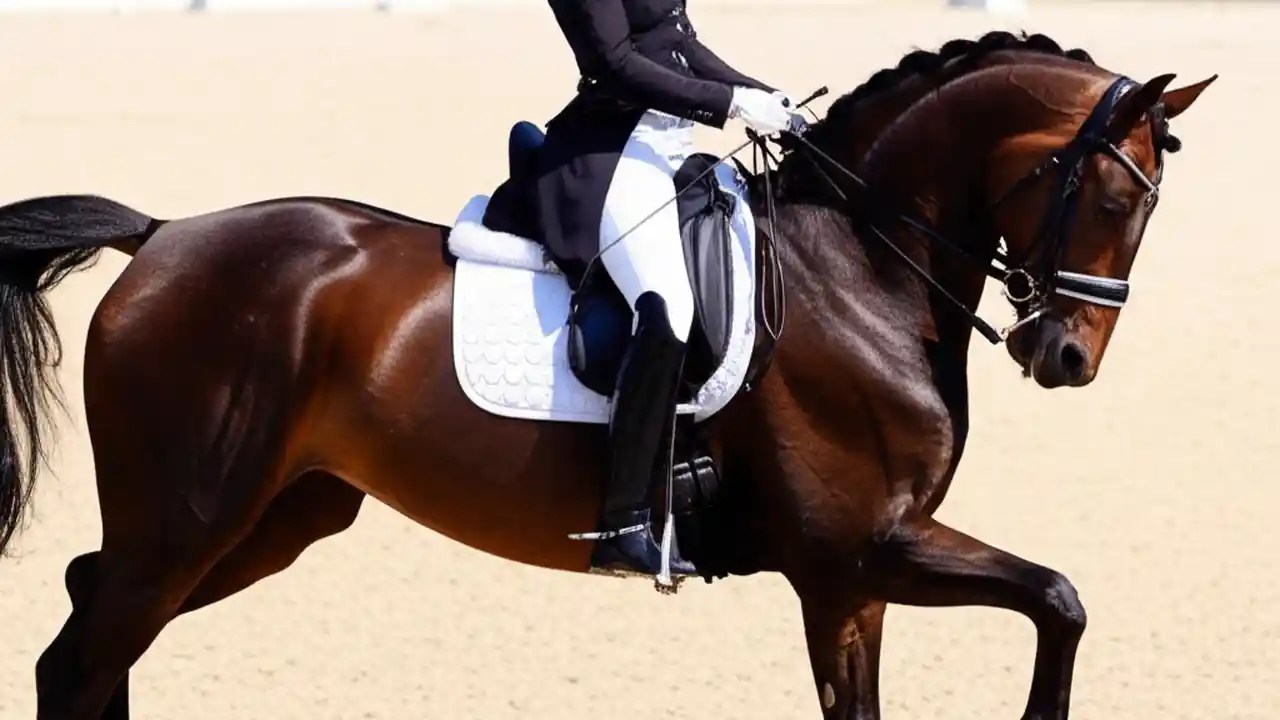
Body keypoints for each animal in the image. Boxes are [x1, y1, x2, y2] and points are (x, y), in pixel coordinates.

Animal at [0, 31, 1214, 720]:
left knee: (92, 614)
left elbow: (1052, 603)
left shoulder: (863, 576)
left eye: (1150, 208)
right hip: (191, 516)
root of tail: (164, 234)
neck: (858, 267)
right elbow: (1057, 598)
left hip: (280, 517)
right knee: (76, 660)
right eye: (1113, 197)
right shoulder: (850, 556)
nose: (1065, 357)